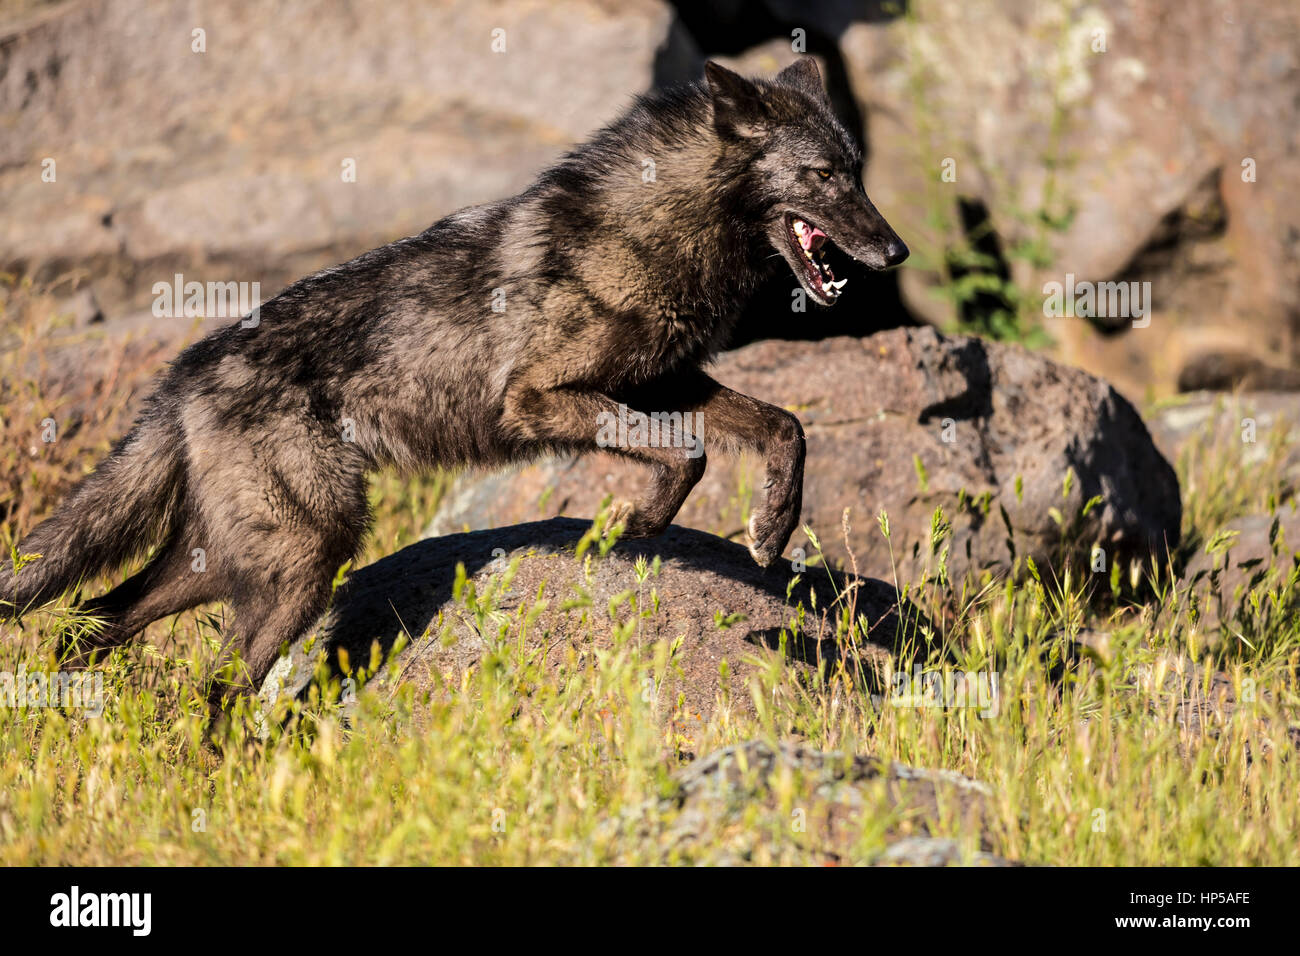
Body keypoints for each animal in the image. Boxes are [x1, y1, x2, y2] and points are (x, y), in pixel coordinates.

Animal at [0, 59, 906, 699]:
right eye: (824, 176)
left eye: (858, 169)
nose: (896, 252)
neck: (652, 228)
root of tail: (182, 375)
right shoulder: (544, 399)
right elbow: (686, 456)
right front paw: (635, 526)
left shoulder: (663, 383)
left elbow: (784, 425)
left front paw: (772, 526)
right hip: (299, 564)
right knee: (206, 686)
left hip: (228, 563)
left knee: (91, 622)